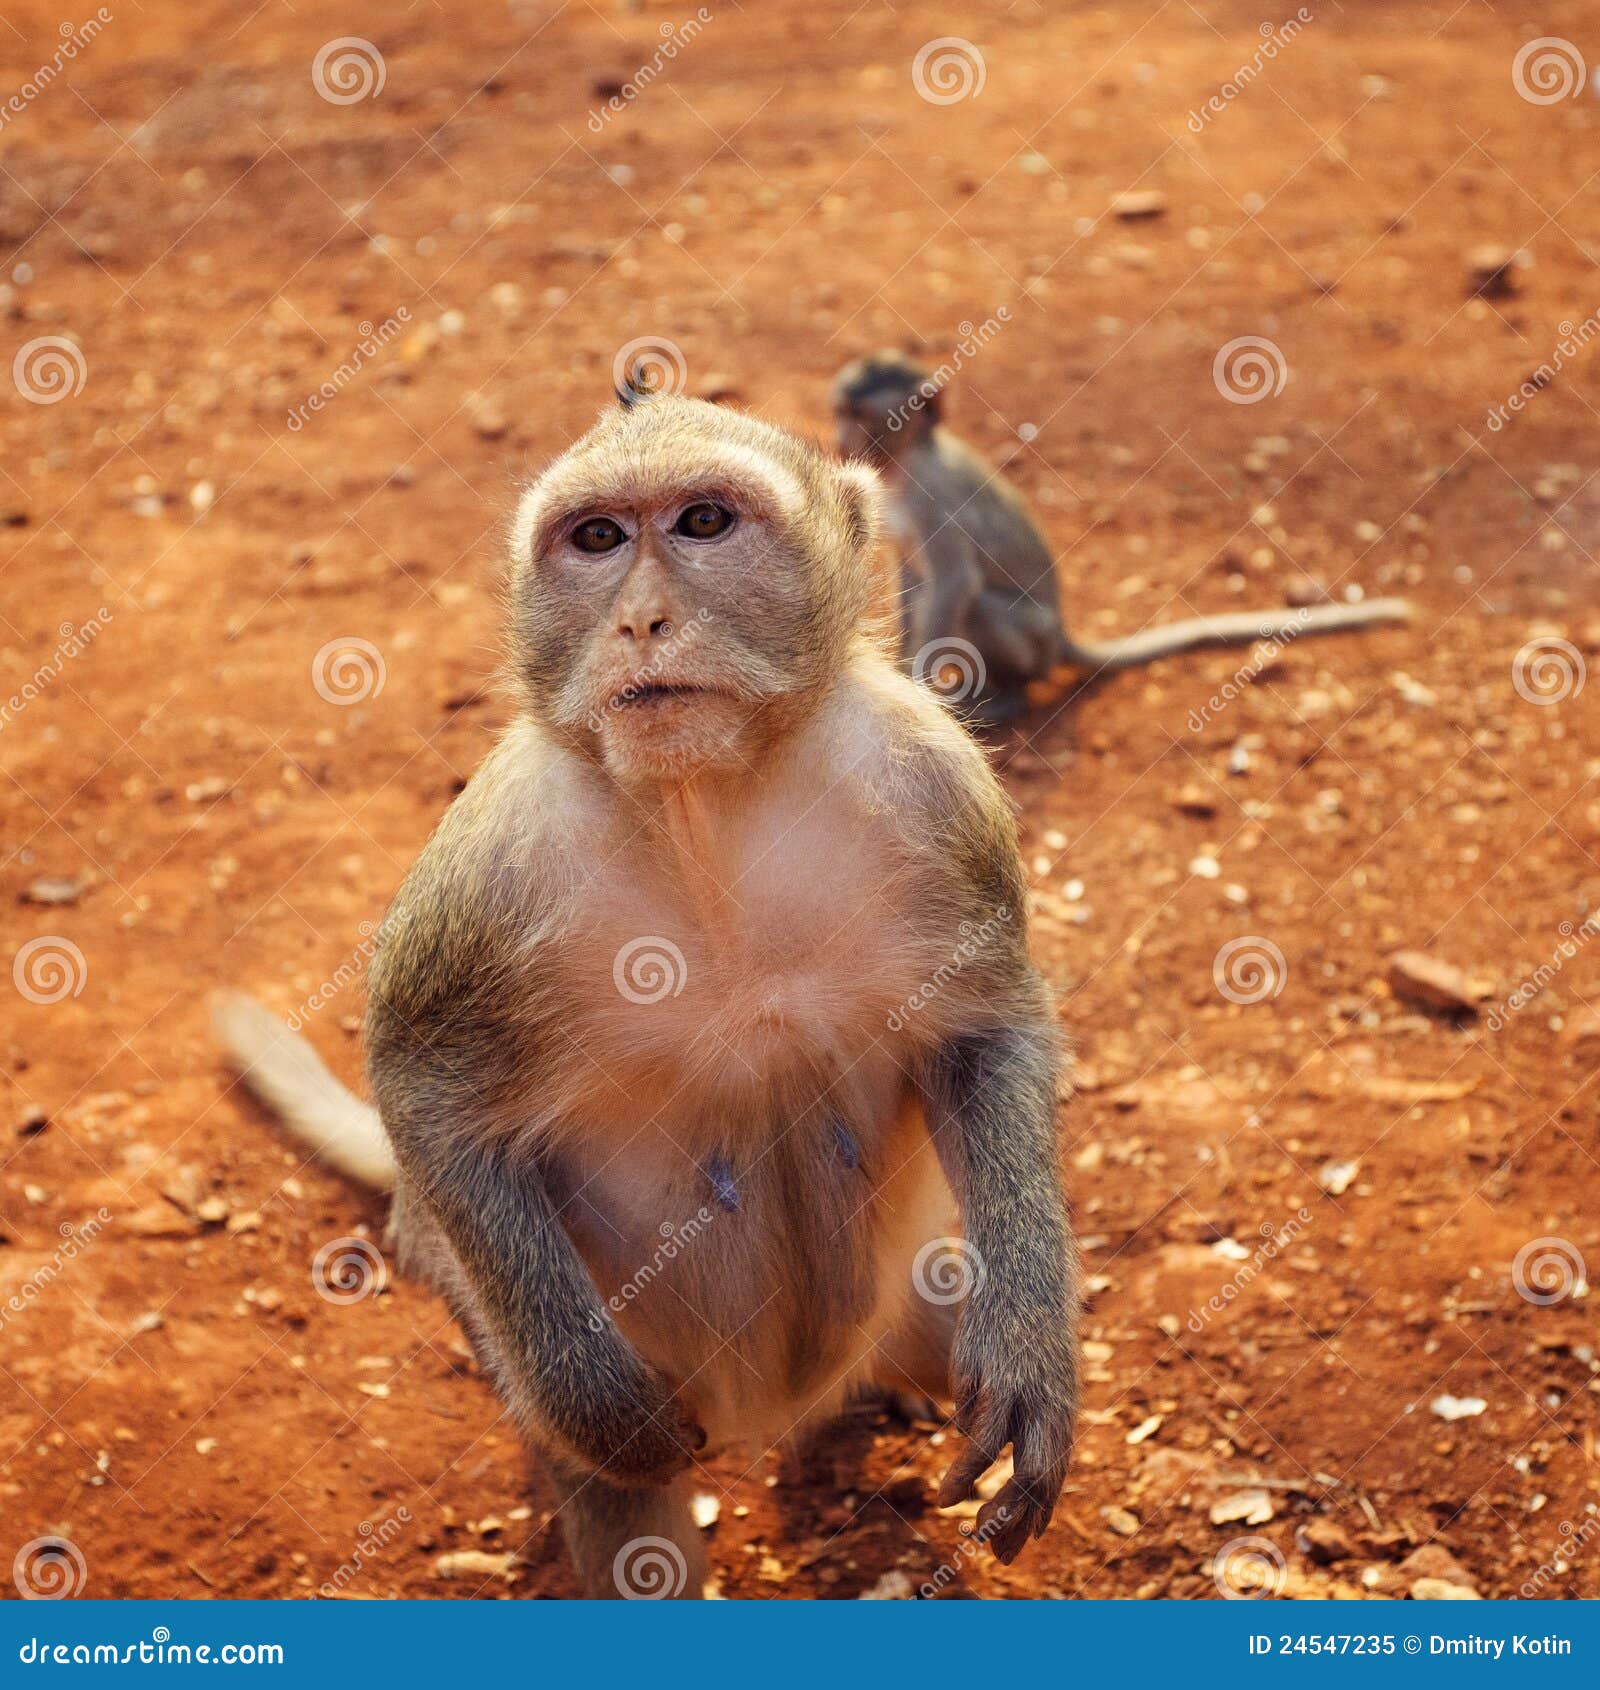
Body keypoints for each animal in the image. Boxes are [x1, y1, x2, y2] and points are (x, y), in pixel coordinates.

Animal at [215, 391, 1079, 1599]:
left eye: (703, 521)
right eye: (597, 540)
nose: (641, 623)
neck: (703, 801)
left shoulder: (935, 789)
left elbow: (985, 1033)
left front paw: (1028, 1358)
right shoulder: (490, 871)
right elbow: (427, 1098)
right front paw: (595, 1400)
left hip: (907, 1296)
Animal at [831, 351, 1413, 725]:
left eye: (859, 415)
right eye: (841, 412)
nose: (840, 439)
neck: (907, 463)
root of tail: (1062, 636)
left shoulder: (933, 501)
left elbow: (955, 583)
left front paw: (917, 688)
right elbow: (913, 579)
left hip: (1035, 642)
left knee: (981, 609)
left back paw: (1011, 699)